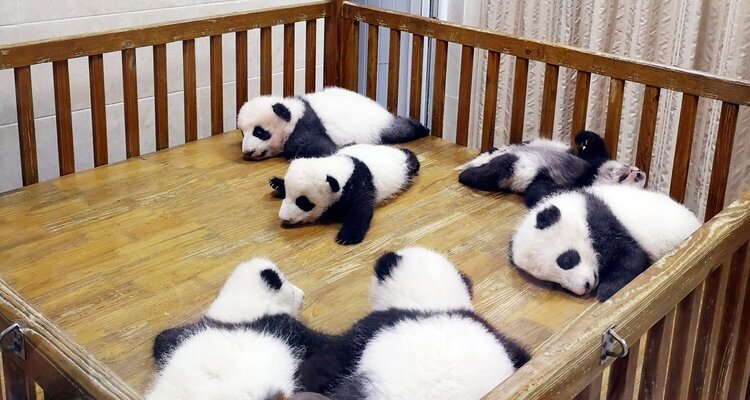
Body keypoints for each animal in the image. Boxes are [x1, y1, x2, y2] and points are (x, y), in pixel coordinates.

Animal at [147, 259, 333, 400]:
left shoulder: (190, 331)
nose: (302, 295)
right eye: (292, 292)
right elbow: (320, 346)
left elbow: (162, 340)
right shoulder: (283, 328)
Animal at [238, 87, 430, 161]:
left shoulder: (305, 126)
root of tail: (381, 110)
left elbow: (321, 148)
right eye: (243, 133)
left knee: (399, 130)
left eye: (259, 132)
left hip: (377, 127)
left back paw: (422, 129)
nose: (248, 152)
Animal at [269, 144, 420, 245]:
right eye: (287, 196)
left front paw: (347, 237)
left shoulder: (358, 184)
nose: (284, 218)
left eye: (303, 203)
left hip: (405, 168)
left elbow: (360, 209)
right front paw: (277, 183)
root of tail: (396, 151)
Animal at [457, 131, 646, 207]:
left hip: (509, 172)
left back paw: (467, 173)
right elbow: (594, 147)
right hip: (526, 142)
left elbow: (540, 191)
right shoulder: (593, 161)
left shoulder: (573, 182)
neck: (595, 174)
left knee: (491, 172)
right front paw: (583, 139)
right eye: (633, 177)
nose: (640, 174)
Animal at [509, 185, 701, 301]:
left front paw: (606, 291)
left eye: (566, 260)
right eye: (555, 283)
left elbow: (631, 258)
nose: (585, 287)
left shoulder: (605, 223)